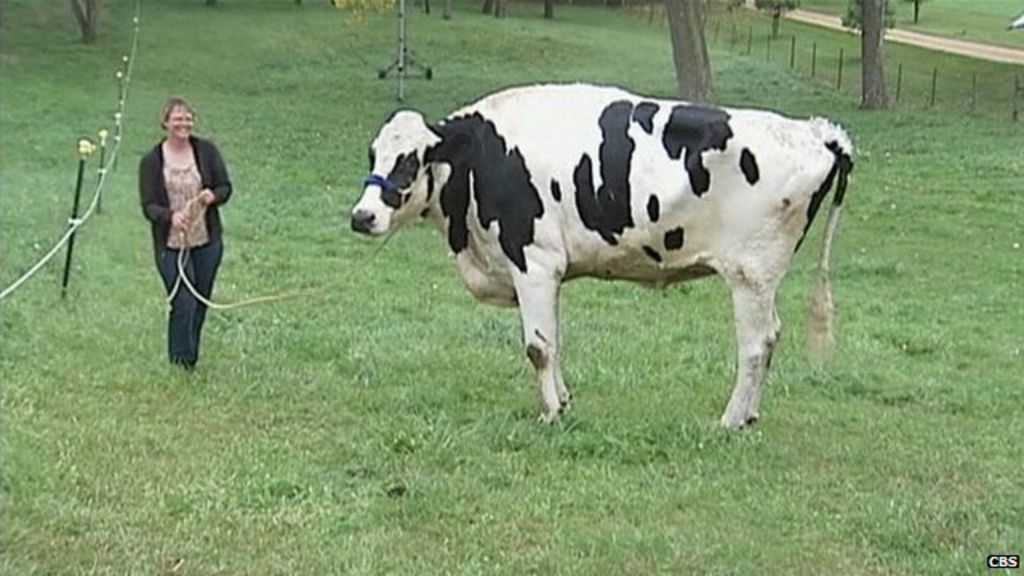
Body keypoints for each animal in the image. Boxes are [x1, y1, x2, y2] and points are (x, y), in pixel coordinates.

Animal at [350, 83, 854, 428]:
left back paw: (731, 420)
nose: (362, 215)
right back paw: (748, 416)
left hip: (751, 273)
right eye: (373, 154)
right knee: (771, 338)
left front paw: (551, 414)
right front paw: (563, 401)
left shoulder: (533, 260)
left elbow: (537, 346)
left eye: (409, 160)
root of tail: (817, 131)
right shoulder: (548, 270)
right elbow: (554, 342)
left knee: (756, 344)